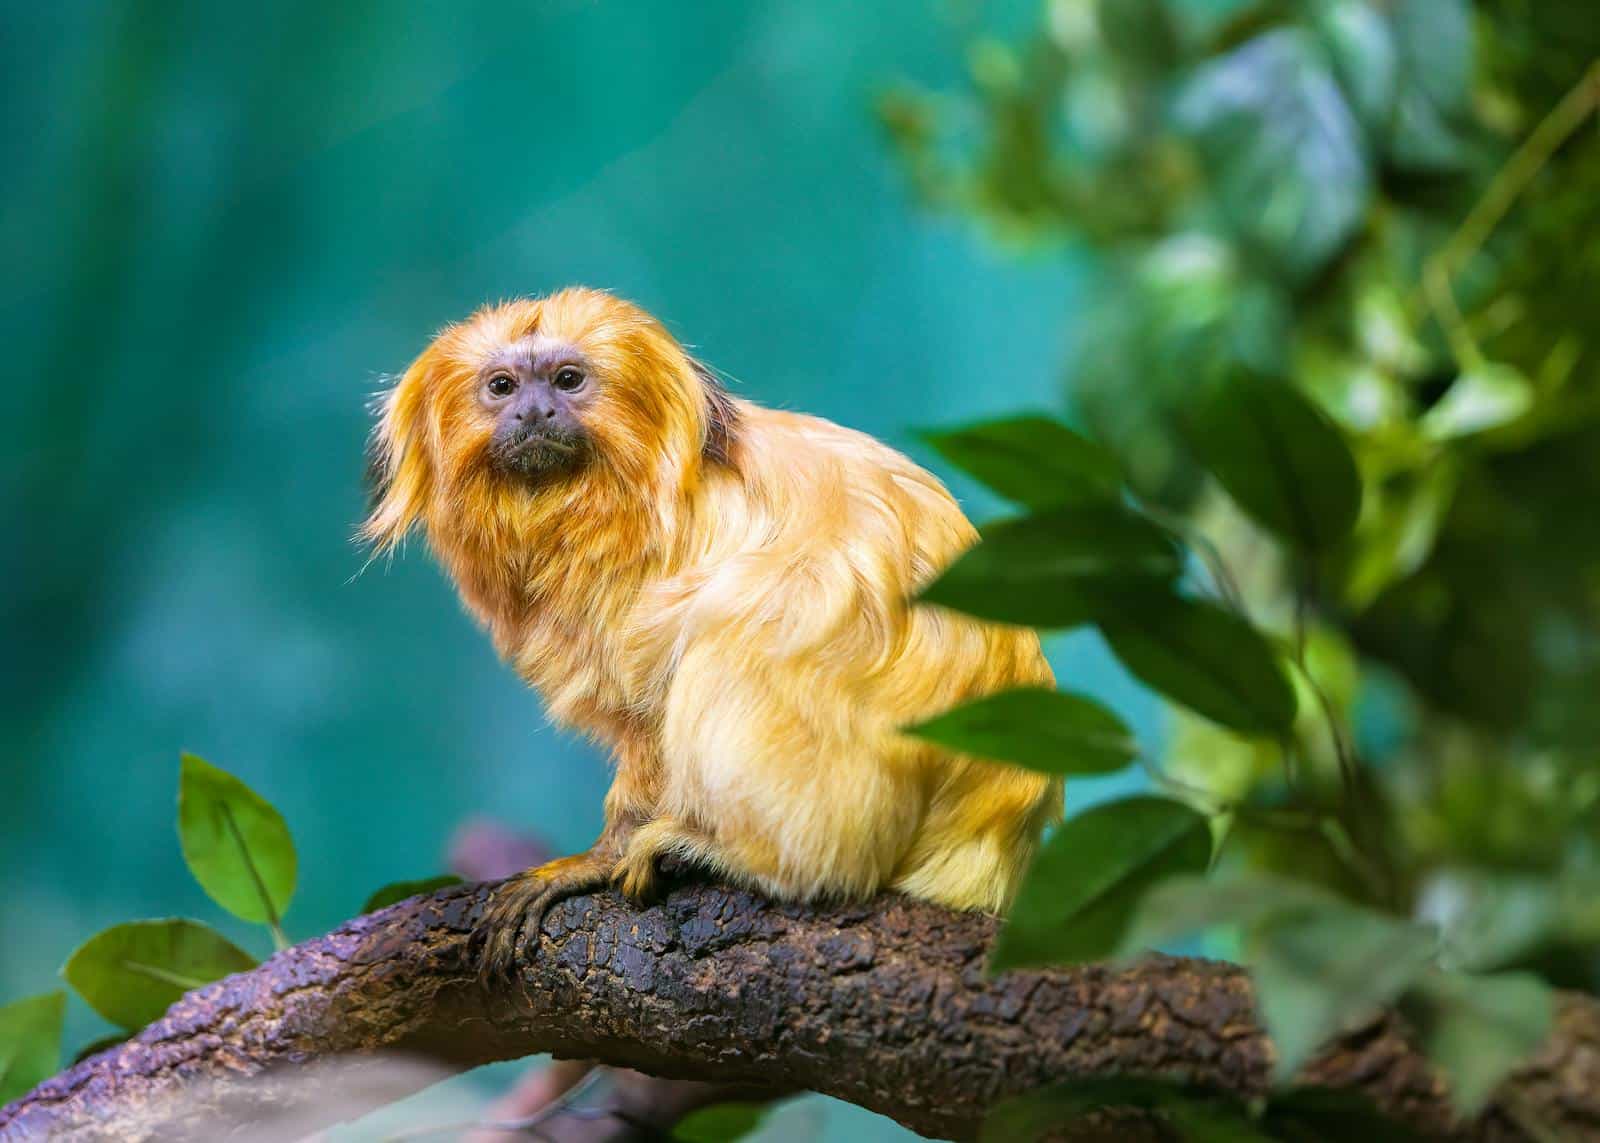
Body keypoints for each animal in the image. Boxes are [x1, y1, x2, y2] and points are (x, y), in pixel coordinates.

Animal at [362, 287, 1062, 973]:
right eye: (502, 386)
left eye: (567, 380)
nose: (534, 412)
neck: (586, 504)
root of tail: (998, 826)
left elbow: (649, 715)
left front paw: (598, 859)